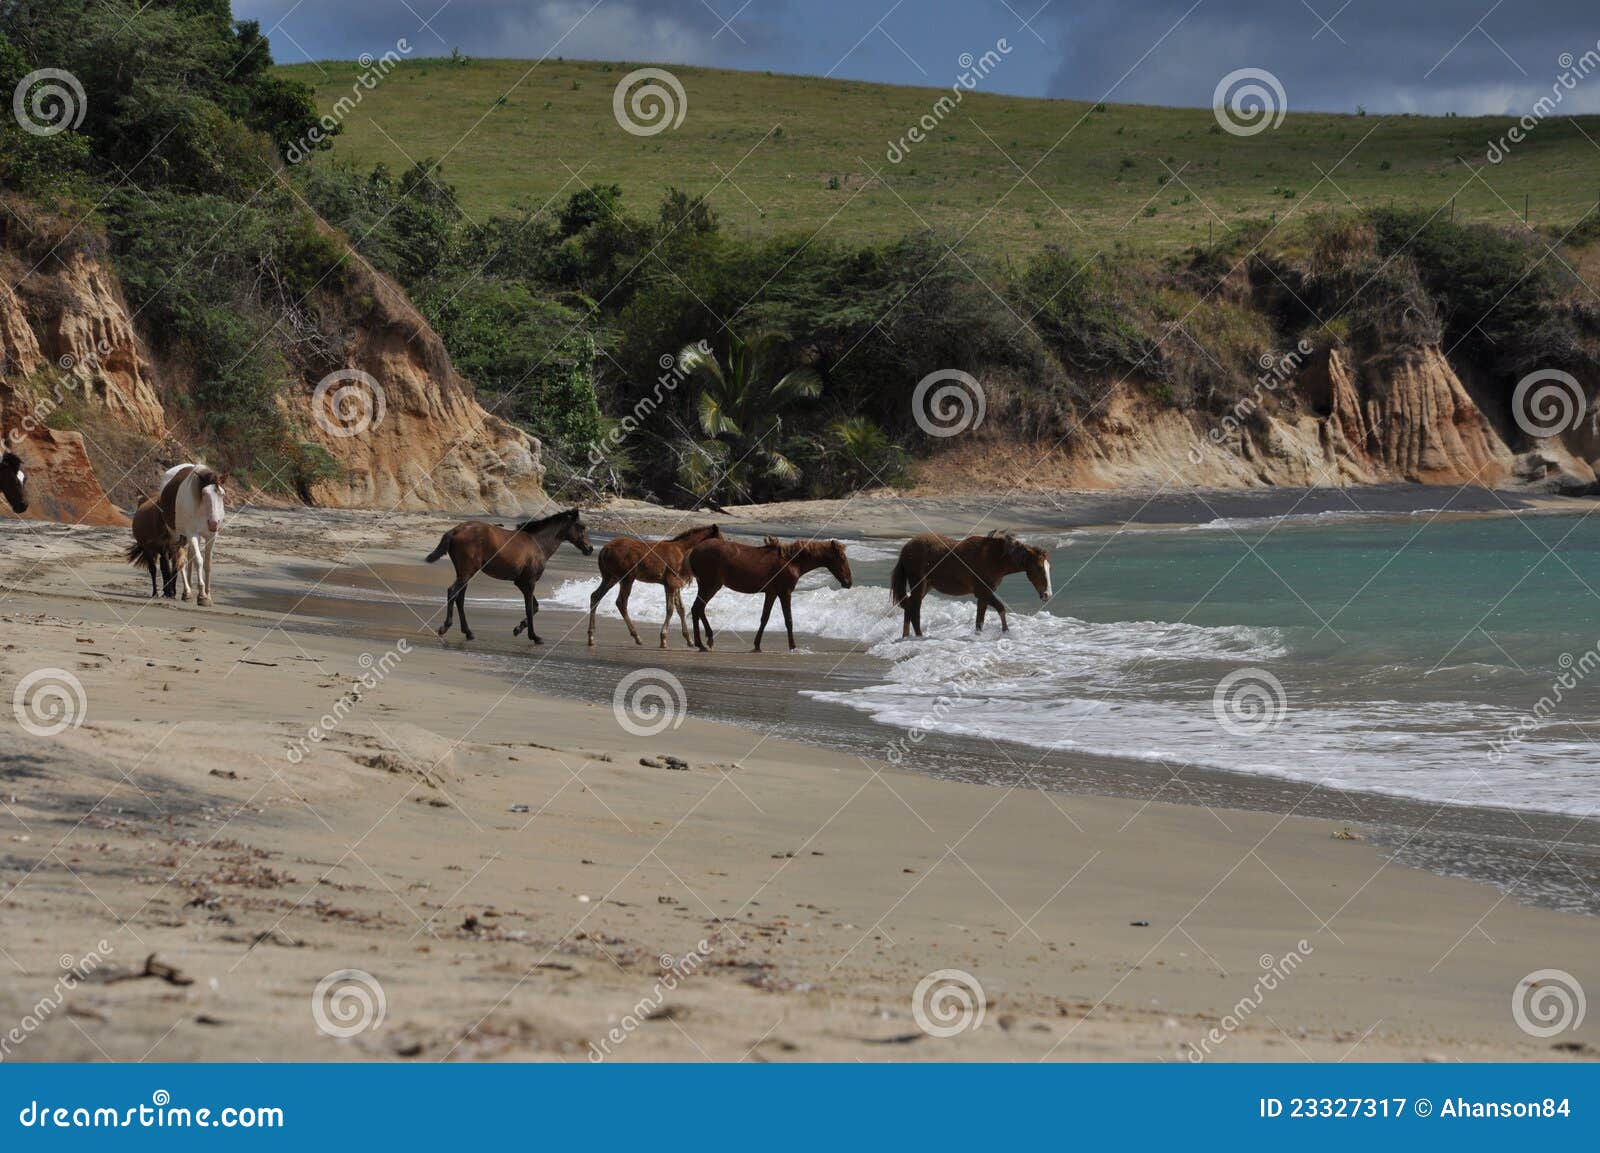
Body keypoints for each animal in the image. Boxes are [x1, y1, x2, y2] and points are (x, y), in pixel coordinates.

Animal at [157, 463, 226, 606]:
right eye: (204, 493)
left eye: (222, 494)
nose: (213, 523)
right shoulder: (193, 534)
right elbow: (199, 561)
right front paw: (202, 596)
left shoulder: (211, 536)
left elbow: (207, 564)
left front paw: (207, 595)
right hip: (177, 536)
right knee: (180, 560)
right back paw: (187, 592)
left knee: (189, 558)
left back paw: (188, 590)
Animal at [425, 508, 593, 643]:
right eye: (581, 527)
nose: (590, 548)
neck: (538, 543)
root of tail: (456, 530)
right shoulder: (529, 582)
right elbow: (529, 608)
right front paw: (534, 636)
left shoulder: (521, 583)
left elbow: (535, 607)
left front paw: (518, 629)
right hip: (467, 571)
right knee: (453, 592)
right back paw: (445, 627)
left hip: (464, 572)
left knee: (459, 597)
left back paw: (468, 632)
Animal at [587, 523, 721, 649]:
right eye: (719, 539)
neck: (683, 551)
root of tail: (604, 550)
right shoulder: (671, 583)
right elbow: (670, 609)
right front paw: (663, 639)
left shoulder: (675, 584)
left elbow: (681, 608)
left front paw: (689, 640)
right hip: (627, 578)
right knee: (621, 602)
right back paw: (637, 637)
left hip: (610, 577)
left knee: (595, 596)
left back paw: (591, 636)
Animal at [689, 537, 852, 652]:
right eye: (842, 557)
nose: (848, 582)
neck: (791, 562)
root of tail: (694, 552)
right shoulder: (785, 593)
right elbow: (789, 620)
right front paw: (793, 646)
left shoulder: (771, 593)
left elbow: (764, 618)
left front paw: (757, 645)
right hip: (710, 585)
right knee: (697, 608)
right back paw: (704, 642)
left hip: (709, 586)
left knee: (697, 609)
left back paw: (702, 642)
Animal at [890, 531, 1051, 638]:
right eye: (1039, 567)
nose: (1047, 595)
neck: (994, 558)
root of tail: (905, 549)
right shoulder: (983, 592)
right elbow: (1000, 608)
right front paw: (1005, 631)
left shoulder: (983, 596)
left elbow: (980, 620)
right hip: (920, 584)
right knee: (914, 610)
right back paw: (919, 636)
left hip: (926, 587)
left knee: (909, 607)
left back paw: (905, 636)